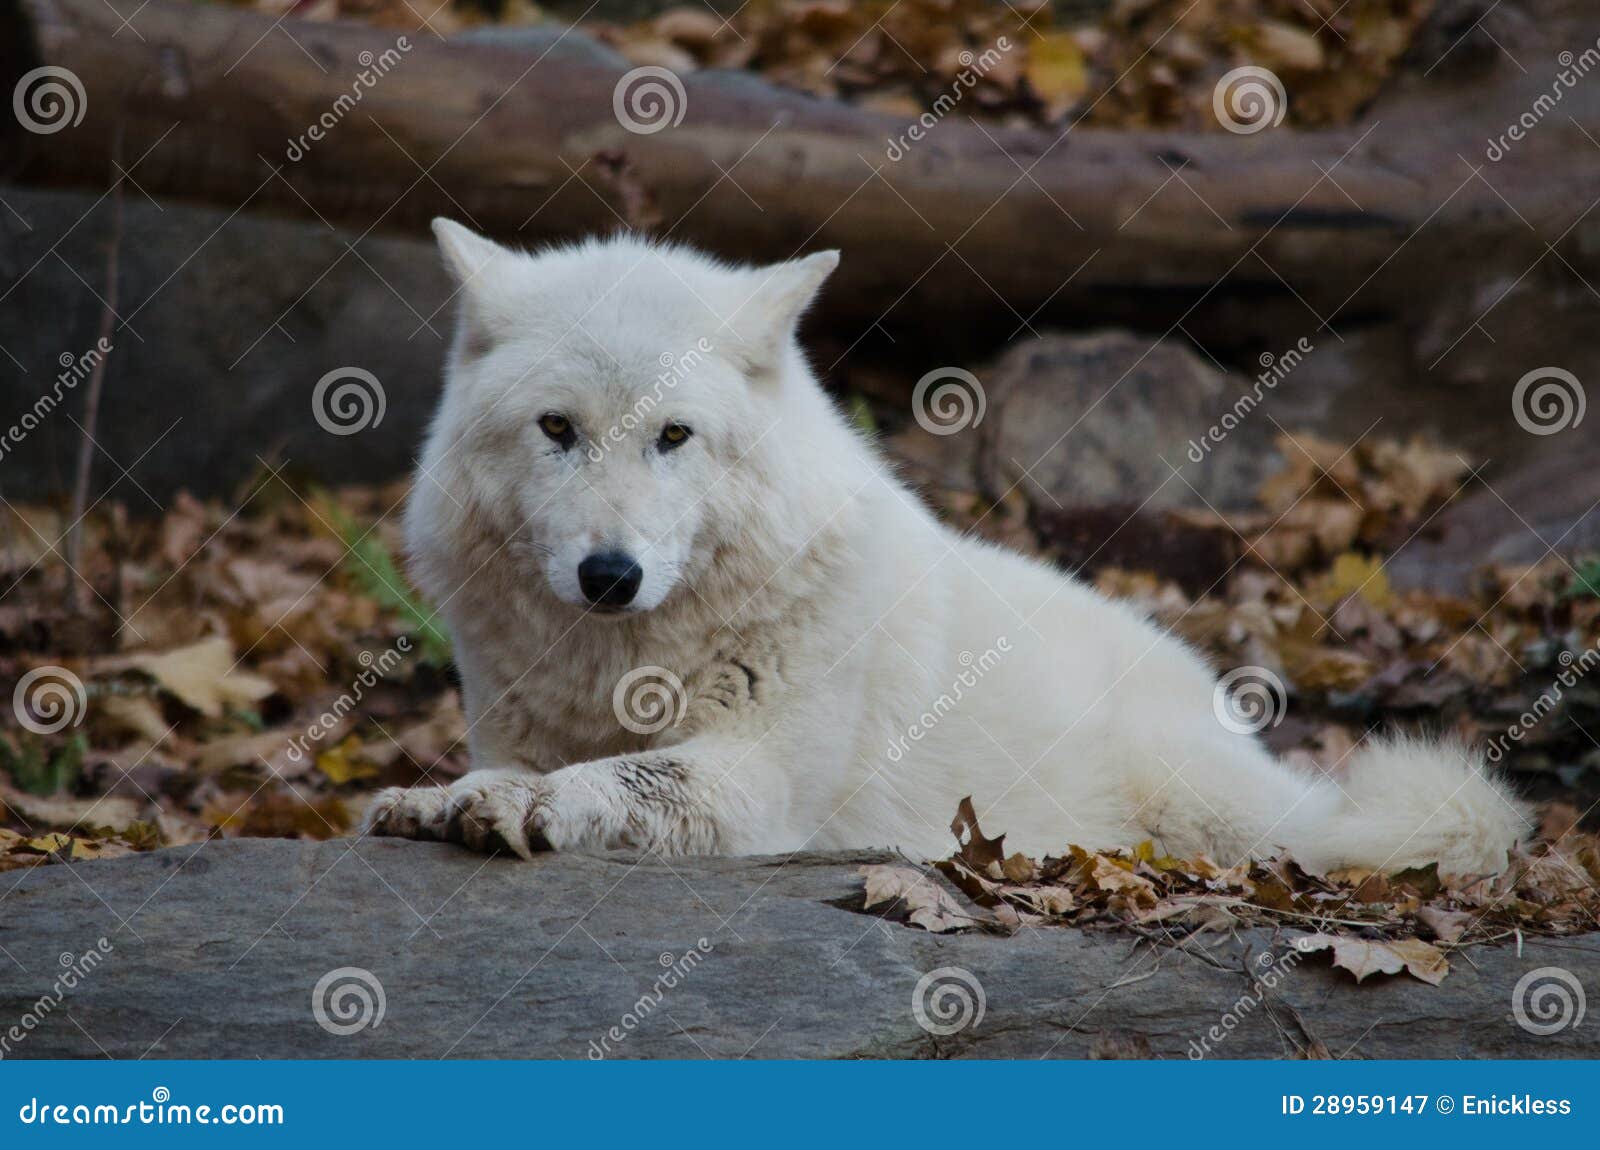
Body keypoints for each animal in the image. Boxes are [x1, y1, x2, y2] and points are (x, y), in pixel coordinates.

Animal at [363, 220, 1528, 876]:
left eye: (673, 436)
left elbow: (631, 776)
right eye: (557, 428)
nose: (611, 576)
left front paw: (524, 805)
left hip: (1234, 817)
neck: (621, 664)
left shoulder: (761, 781)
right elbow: (505, 768)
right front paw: (436, 799)